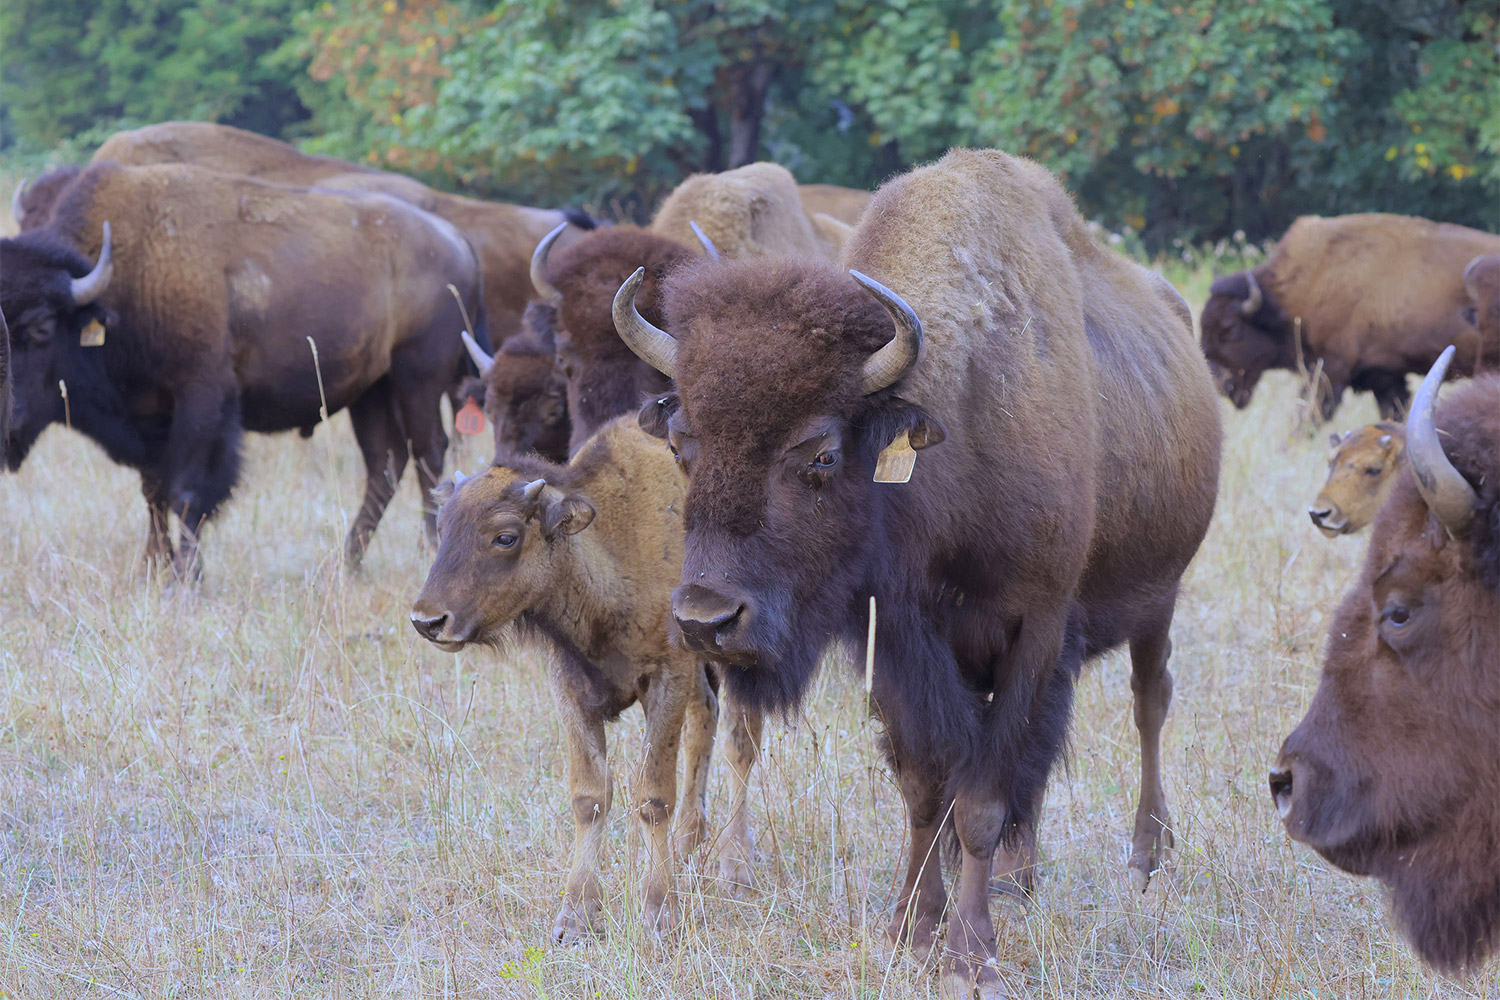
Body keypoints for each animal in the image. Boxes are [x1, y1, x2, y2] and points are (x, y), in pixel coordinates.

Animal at [2, 162, 484, 573]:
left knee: (428, 453)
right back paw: (346, 563)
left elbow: (187, 492)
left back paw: (428, 549)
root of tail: (458, 240)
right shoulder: (150, 416)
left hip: (417, 377)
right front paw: (153, 567)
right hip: (372, 391)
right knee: (385, 464)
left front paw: (185, 578)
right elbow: (153, 491)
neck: (129, 274)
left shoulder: (202, 402)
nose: (8, 420)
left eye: (42, 327)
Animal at [613, 148, 1221, 994]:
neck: (959, 428)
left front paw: (971, 950)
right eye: (682, 443)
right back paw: (1019, 880)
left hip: (1158, 599)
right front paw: (910, 924)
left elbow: (982, 798)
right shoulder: (901, 642)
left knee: (1148, 703)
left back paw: (1144, 857)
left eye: (820, 454)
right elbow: (927, 786)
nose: (707, 618)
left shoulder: (1036, 631)